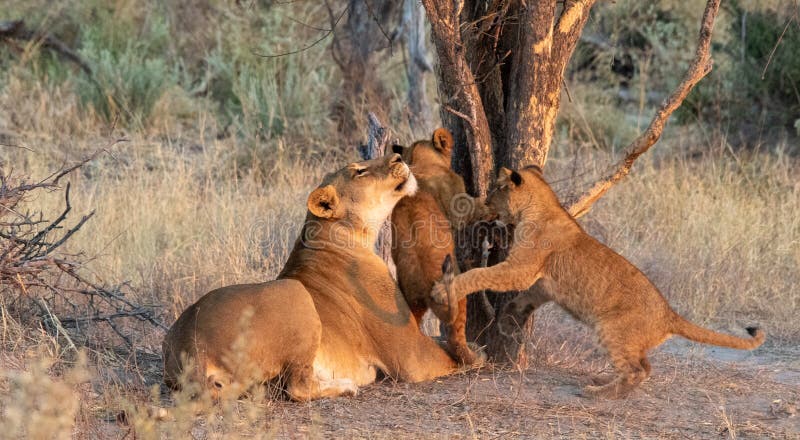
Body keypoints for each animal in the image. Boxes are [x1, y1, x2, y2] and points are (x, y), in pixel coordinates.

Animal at [163, 153, 460, 401]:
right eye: (360, 171)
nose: (398, 156)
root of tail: (192, 346)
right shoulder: (411, 356)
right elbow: (454, 359)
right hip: (294, 292)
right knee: (296, 387)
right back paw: (346, 385)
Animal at [390, 128, 488, 365]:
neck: (419, 161)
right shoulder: (459, 204)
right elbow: (479, 206)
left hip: (411, 300)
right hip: (456, 288)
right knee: (456, 336)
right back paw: (473, 355)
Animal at [431, 166, 765, 398]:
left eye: (495, 190)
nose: (485, 202)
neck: (541, 206)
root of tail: (669, 314)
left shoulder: (521, 268)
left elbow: (479, 275)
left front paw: (446, 289)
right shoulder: (542, 282)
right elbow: (522, 299)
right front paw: (508, 321)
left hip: (612, 329)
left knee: (636, 371)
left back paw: (598, 394)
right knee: (645, 366)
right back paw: (602, 380)